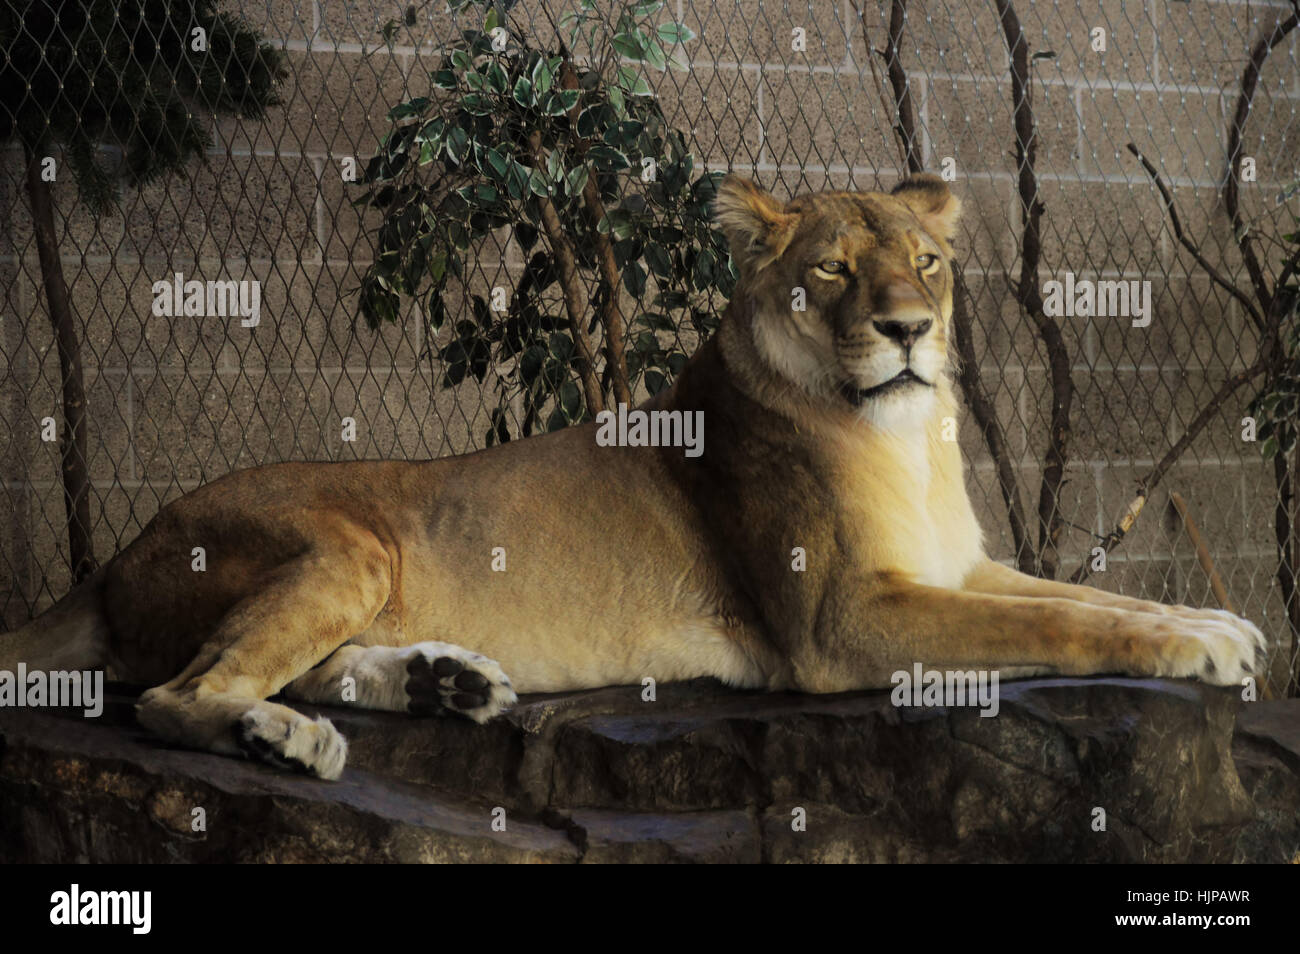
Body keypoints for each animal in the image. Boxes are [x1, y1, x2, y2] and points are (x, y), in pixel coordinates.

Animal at [0, 174, 1267, 779]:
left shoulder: (962, 567)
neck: (909, 437)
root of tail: (115, 555)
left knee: (277, 665)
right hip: (340, 546)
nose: (908, 329)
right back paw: (286, 741)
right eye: (831, 272)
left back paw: (444, 683)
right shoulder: (840, 624)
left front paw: (1211, 622)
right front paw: (1201, 649)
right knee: (172, 695)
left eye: (926, 261)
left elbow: (1089, 596)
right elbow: (1064, 628)